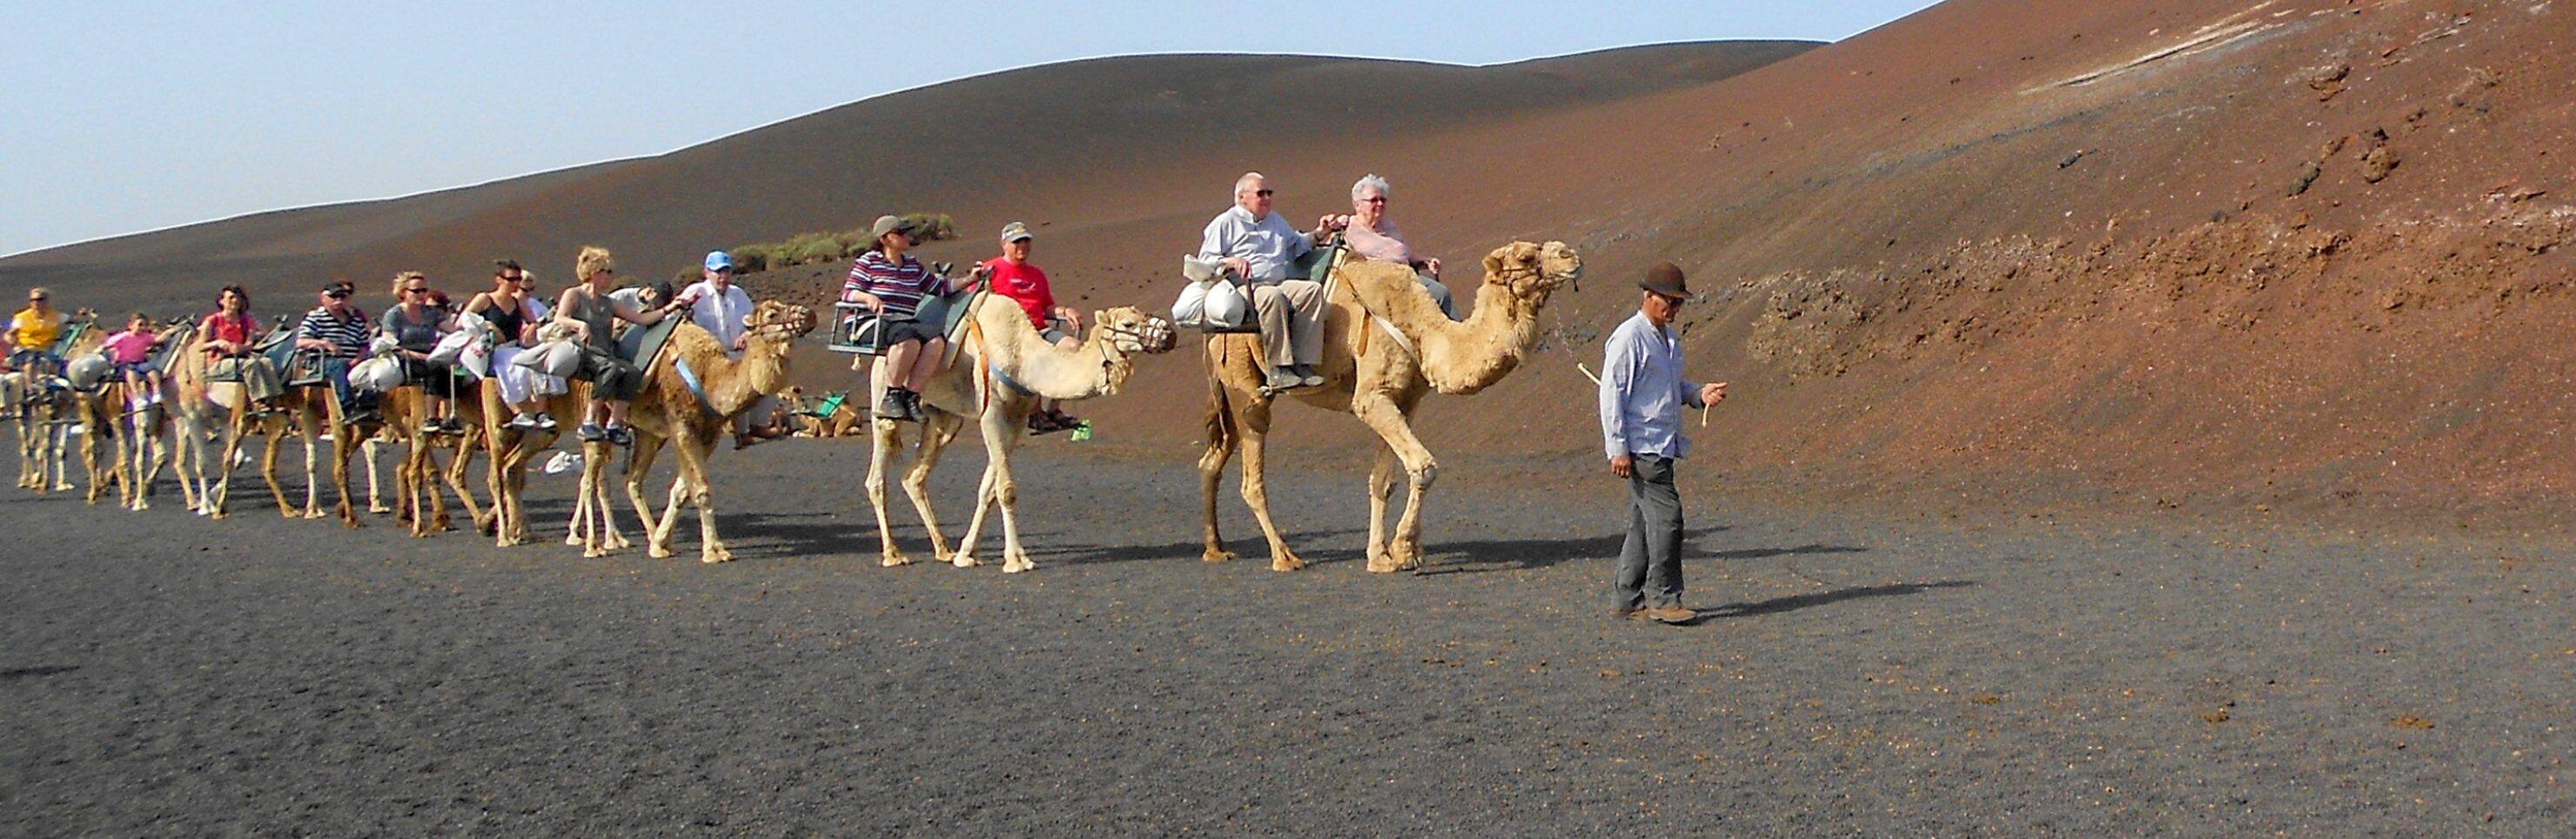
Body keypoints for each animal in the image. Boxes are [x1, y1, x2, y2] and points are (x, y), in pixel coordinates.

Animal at [571, 300, 815, 561]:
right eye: (771, 314)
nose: (809, 314)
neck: (710, 379)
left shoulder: (709, 436)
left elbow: (681, 491)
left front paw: (661, 544)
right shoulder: (683, 429)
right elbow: (701, 490)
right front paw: (714, 551)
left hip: (647, 432)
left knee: (631, 481)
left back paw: (645, 537)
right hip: (596, 415)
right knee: (589, 479)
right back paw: (593, 545)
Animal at [865, 302, 1177, 572]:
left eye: (1141, 314)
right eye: (1128, 323)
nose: (1169, 335)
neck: (1023, 358)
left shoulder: (1016, 420)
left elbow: (988, 491)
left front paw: (967, 554)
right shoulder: (991, 414)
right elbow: (1006, 490)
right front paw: (1017, 560)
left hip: (943, 418)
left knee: (914, 477)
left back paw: (944, 550)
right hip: (883, 399)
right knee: (877, 476)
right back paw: (893, 554)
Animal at [1199, 240, 1583, 572]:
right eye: (1525, 256)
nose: (1571, 256)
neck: (1422, 332)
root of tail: (1213, 329)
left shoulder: (1405, 400)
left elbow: (1382, 481)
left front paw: (1380, 557)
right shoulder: (1371, 398)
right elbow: (1424, 467)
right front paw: (1404, 550)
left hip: (1232, 395)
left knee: (1212, 458)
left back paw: (1215, 550)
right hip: (1245, 385)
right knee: (1251, 477)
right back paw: (1285, 557)